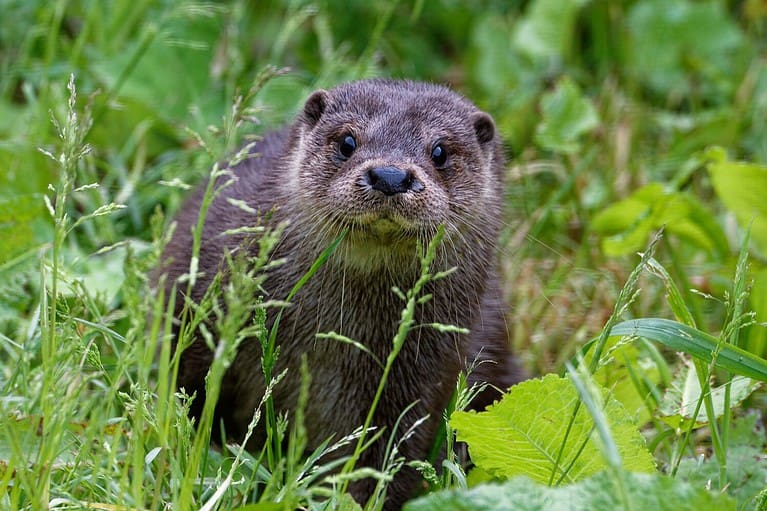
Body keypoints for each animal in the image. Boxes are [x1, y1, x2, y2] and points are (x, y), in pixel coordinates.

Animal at [159, 79, 521, 509]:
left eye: (440, 151)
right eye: (348, 141)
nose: (389, 175)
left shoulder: (421, 376)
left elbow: (387, 455)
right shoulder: (196, 307)